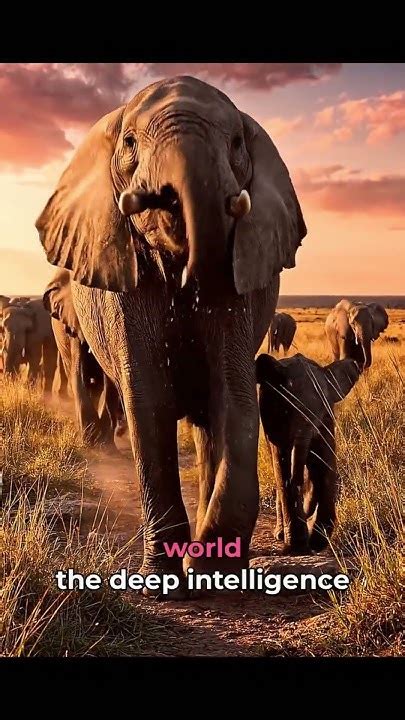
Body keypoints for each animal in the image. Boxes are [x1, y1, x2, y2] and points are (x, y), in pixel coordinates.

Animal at [256, 353, 360, 554]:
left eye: (320, 411)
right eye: (287, 410)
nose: (299, 484)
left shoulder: (326, 422)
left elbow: (326, 466)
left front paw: (317, 543)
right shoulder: (274, 420)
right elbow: (282, 466)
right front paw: (298, 548)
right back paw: (281, 534)